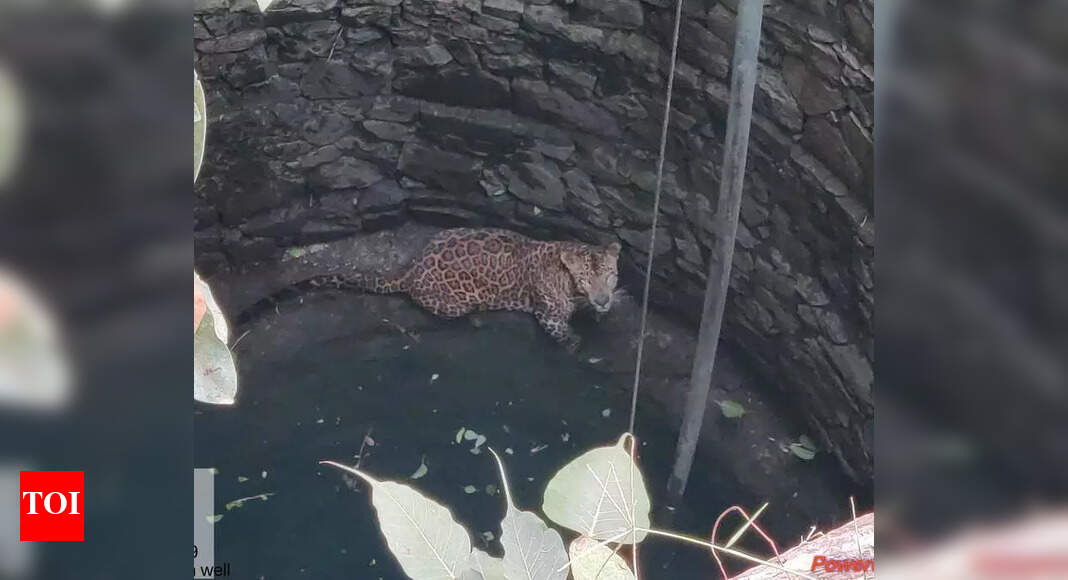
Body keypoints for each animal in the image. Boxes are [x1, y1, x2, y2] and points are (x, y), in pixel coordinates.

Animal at [337, 228, 621, 351]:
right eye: (585, 279)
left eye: (609, 275)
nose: (602, 300)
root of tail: (413, 266)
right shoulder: (550, 317)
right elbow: (566, 336)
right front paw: (576, 343)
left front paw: (600, 311)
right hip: (455, 305)